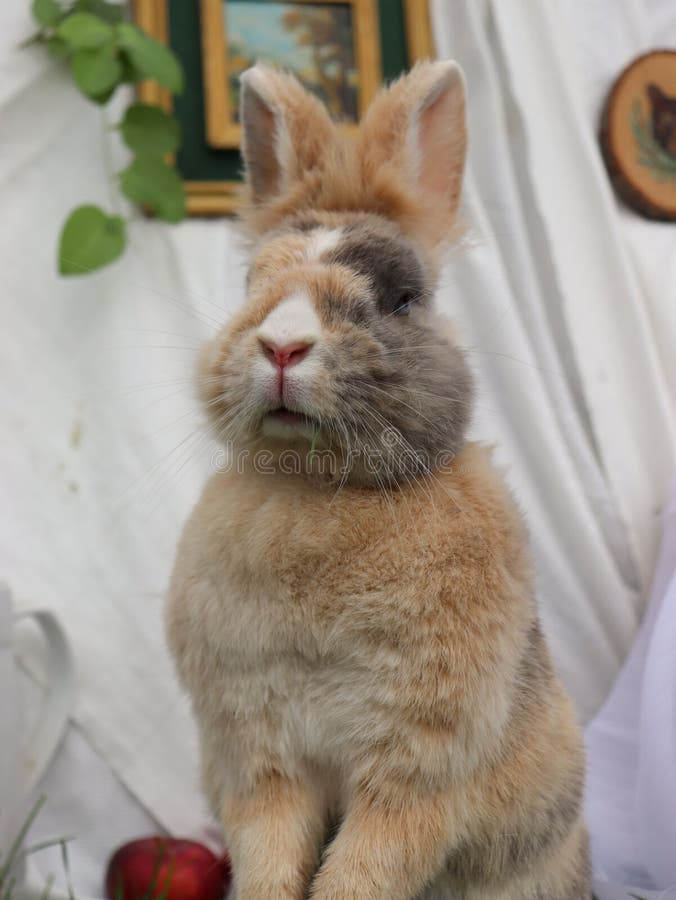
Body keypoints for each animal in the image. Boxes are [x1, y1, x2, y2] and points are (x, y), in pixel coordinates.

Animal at [166, 61, 591, 900]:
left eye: (402, 297)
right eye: (250, 283)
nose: (282, 347)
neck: (320, 490)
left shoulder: (414, 773)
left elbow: (364, 869)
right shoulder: (262, 761)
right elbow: (270, 858)